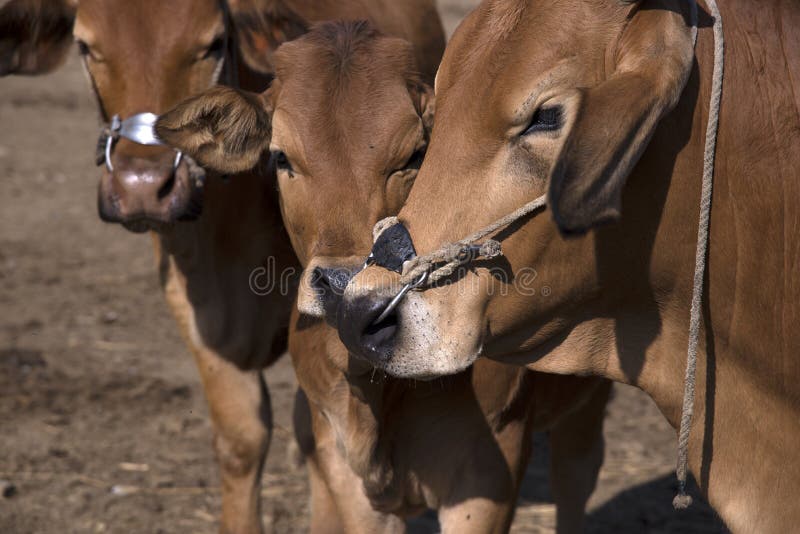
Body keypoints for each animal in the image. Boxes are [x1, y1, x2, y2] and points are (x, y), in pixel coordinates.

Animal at [156, 20, 613, 534]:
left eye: (415, 155)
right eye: (281, 158)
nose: (340, 282)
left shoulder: (489, 473)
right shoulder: (344, 471)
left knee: (576, 470)